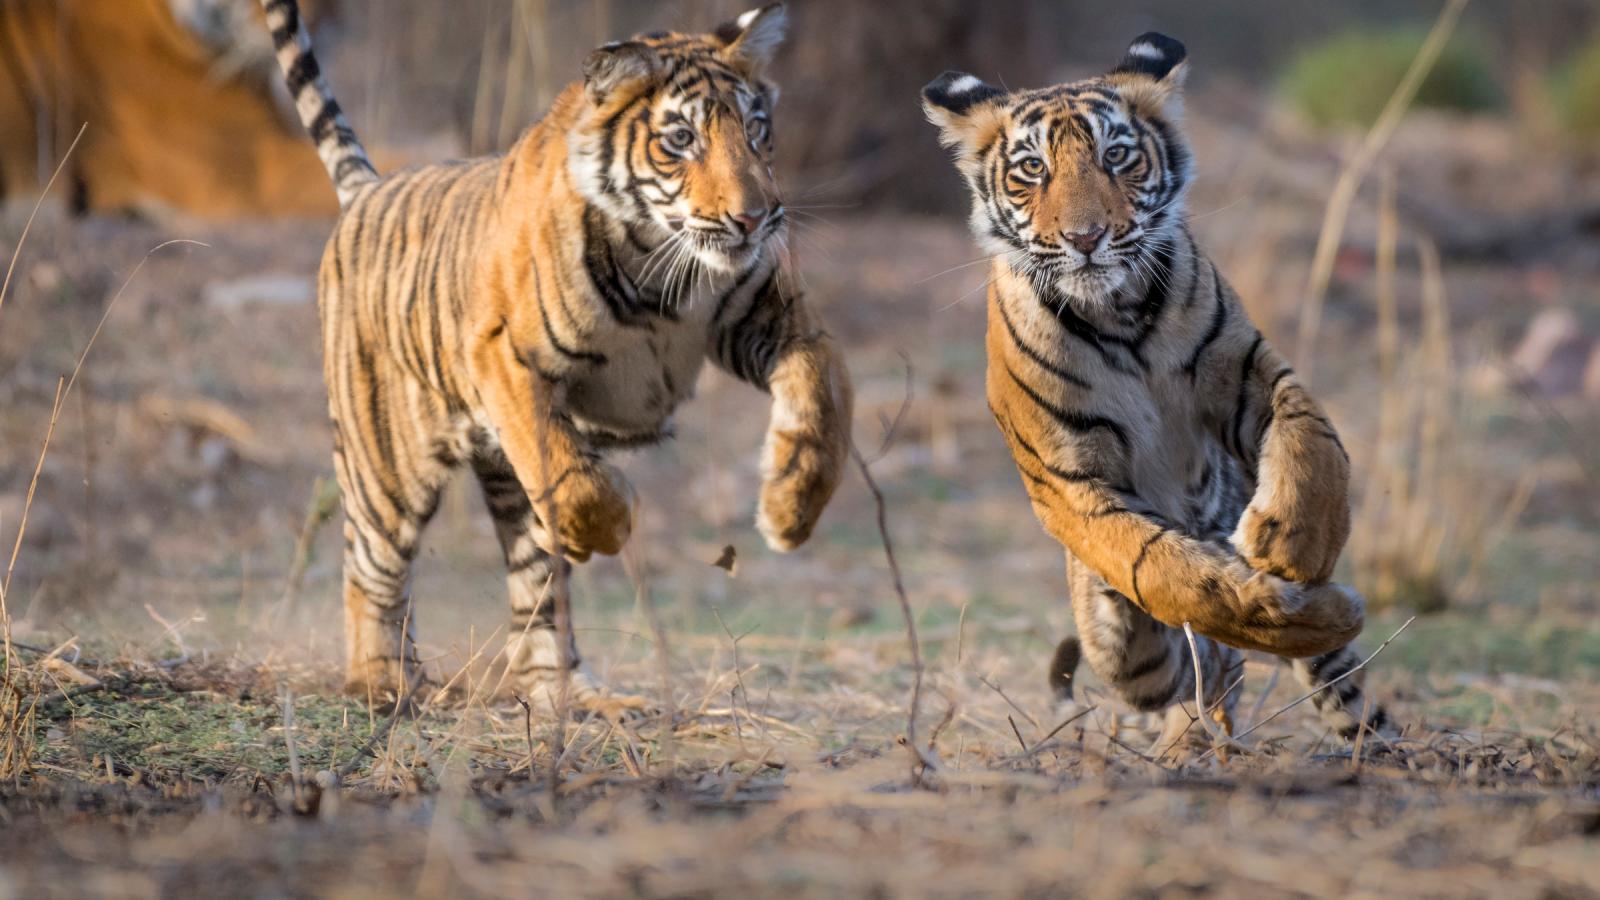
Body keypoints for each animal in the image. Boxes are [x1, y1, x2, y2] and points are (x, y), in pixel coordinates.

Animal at [259, 0, 853, 714]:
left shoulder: (771, 318)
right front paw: (614, 519)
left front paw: (791, 506)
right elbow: (573, 476)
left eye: (757, 129)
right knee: (372, 569)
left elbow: (823, 393)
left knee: (536, 589)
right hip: (385, 464)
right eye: (682, 139)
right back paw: (385, 683)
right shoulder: (505, 355)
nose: (755, 218)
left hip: (500, 483)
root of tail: (368, 189)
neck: (661, 269)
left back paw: (574, 696)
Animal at [922, 33, 1390, 751]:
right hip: (1111, 634)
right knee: (1160, 665)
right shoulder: (1069, 482)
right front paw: (1277, 608)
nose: (1086, 238)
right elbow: (1163, 571)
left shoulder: (1247, 369)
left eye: (1116, 156)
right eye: (1032, 168)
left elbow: (1312, 437)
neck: (1118, 317)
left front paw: (1294, 543)